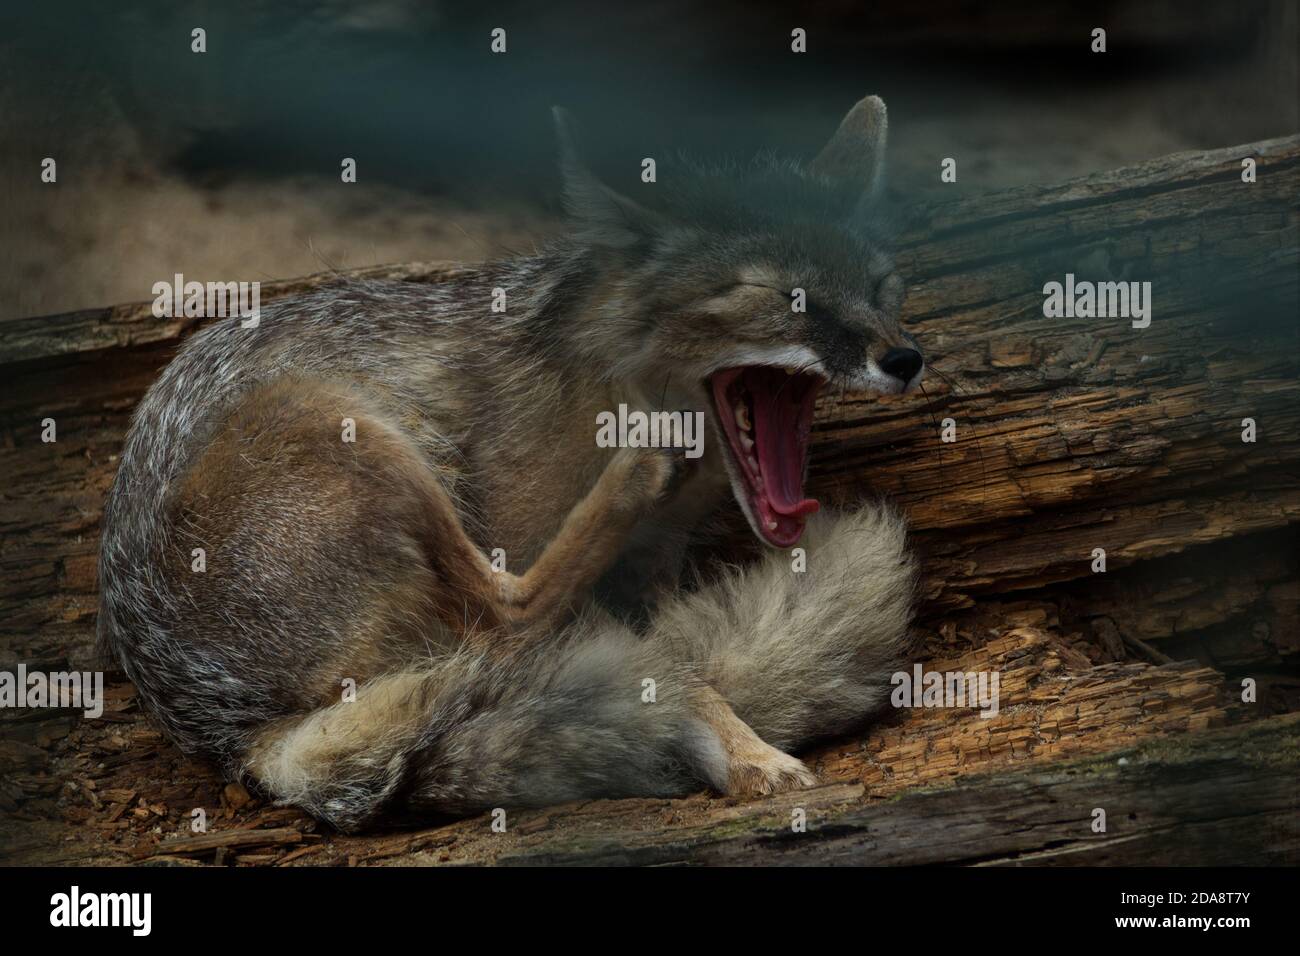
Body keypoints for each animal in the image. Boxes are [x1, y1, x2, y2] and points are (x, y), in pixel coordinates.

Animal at [98, 94, 923, 832]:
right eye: (780, 296)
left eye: (882, 287)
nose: (906, 358)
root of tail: (235, 738)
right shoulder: (519, 530)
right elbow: (652, 662)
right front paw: (746, 749)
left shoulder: (656, 569)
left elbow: (672, 656)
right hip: (346, 427)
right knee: (507, 614)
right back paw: (633, 471)